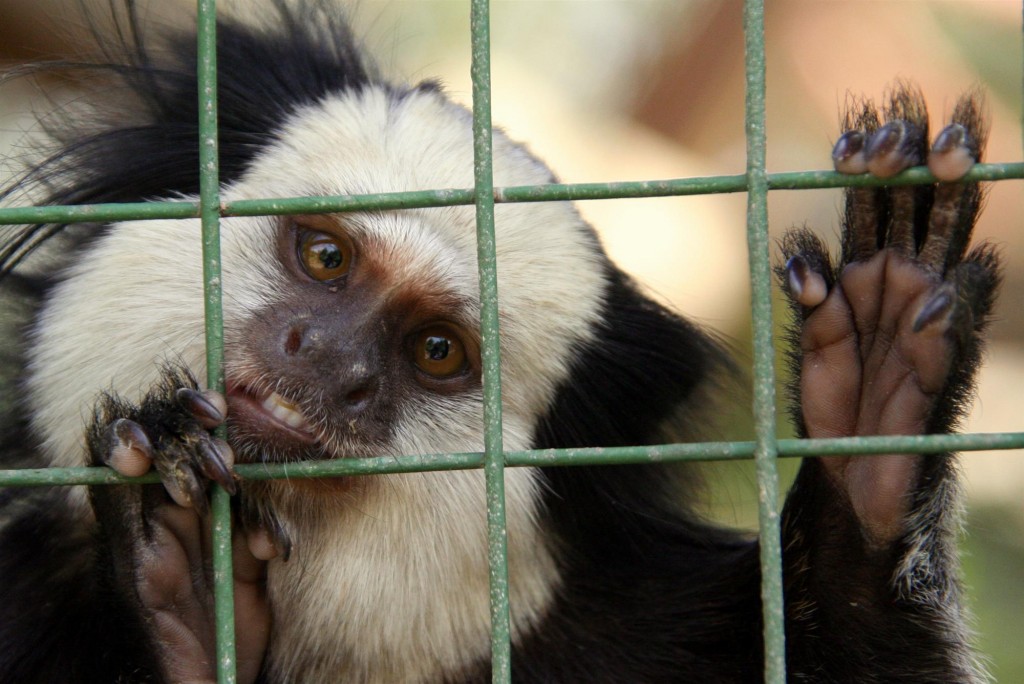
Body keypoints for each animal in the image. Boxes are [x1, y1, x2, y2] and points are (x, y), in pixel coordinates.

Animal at [0, 1, 1000, 682]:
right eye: (325, 257)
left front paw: (876, 384)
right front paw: (178, 582)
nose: (333, 361)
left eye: (439, 352)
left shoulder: (652, 628)